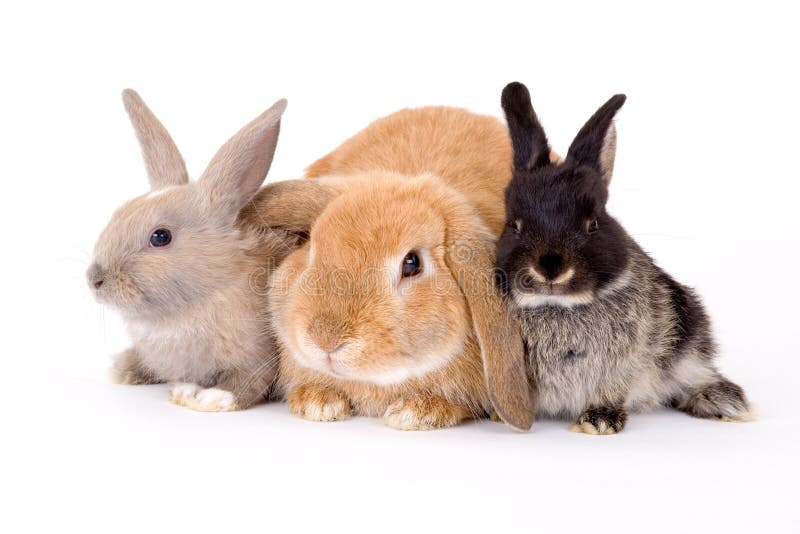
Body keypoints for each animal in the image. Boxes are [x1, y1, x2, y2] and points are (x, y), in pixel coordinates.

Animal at [87, 89, 305, 412]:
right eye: (118, 214)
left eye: (160, 237)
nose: (94, 279)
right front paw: (119, 370)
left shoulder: (258, 357)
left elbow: (246, 383)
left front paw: (210, 398)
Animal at [495, 81, 752, 434]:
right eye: (515, 225)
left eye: (593, 223)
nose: (550, 268)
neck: (559, 306)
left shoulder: (625, 363)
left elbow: (612, 389)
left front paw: (599, 421)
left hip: (689, 335)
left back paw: (726, 403)